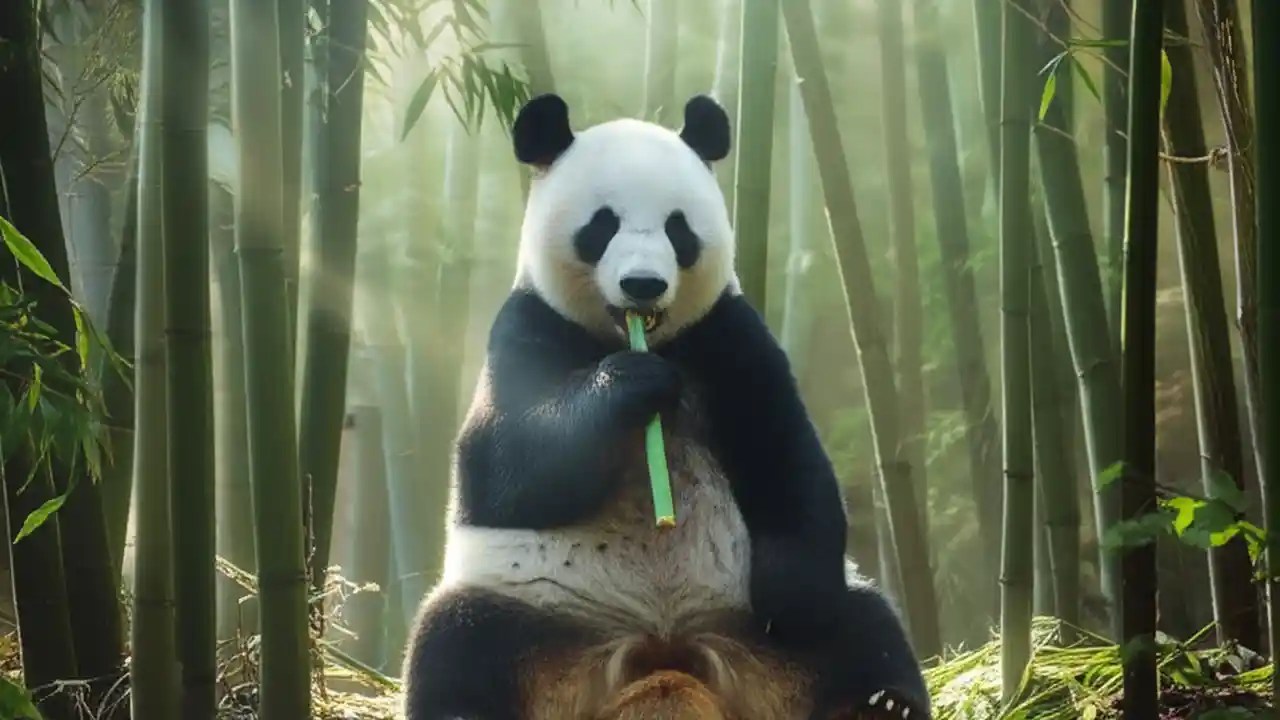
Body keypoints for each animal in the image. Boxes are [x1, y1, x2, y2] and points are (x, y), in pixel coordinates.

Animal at [401, 92, 931, 720]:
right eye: (601, 226)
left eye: (679, 229)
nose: (643, 284)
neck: (636, 339)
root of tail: (663, 655)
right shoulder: (525, 326)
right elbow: (502, 465)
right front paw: (632, 384)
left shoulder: (728, 335)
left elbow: (785, 453)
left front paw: (793, 597)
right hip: (531, 609)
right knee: (457, 643)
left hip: (755, 619)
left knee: (866, 631)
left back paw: (882, 703)